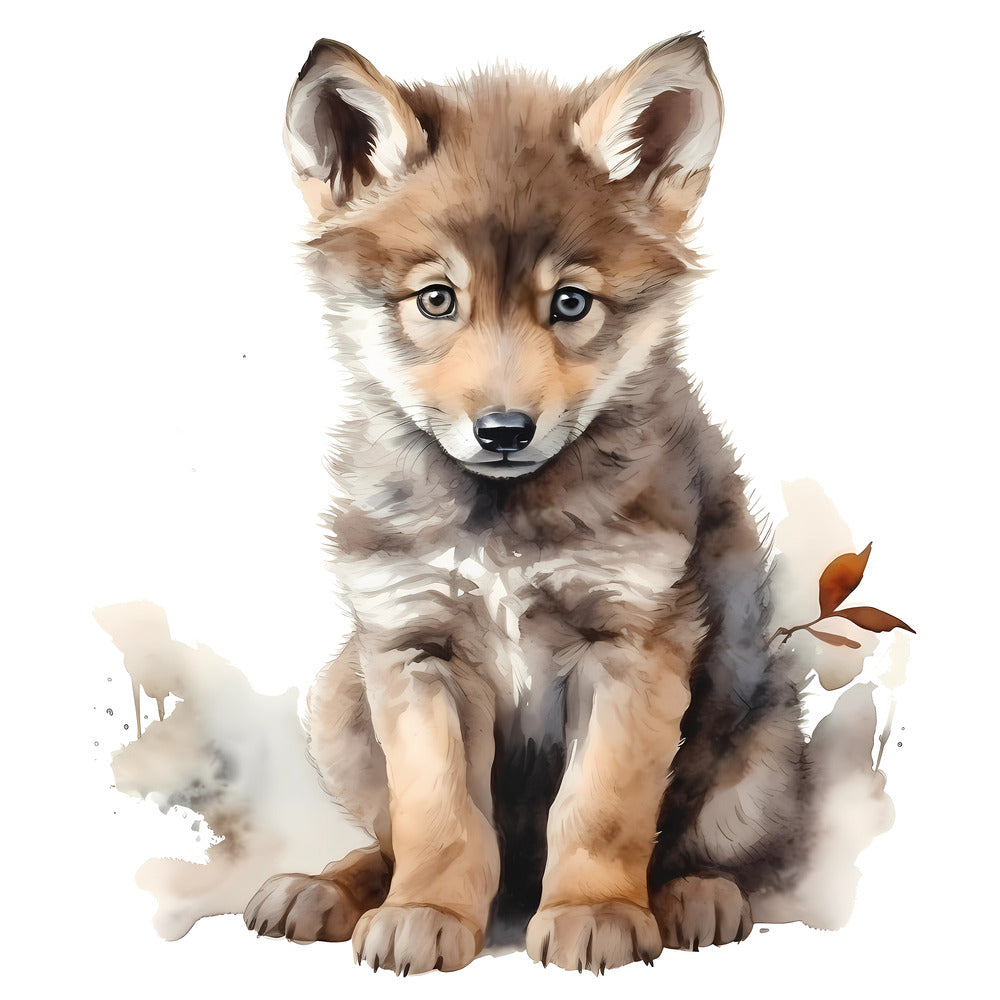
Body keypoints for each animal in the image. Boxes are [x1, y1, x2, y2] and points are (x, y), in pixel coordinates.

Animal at [244, 33, 812, 975]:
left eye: (570, 303)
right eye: (438, 299)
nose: (505, 430)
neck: (501, 526)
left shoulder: (630, 644)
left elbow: (602, 807)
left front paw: (595, 912)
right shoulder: (414, 646)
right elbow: (437, 818)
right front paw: (427, 912)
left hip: (756, 748)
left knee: (698, 846)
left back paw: (689, 899)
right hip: (338, 701)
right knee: (389, 840)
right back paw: (327, 889)